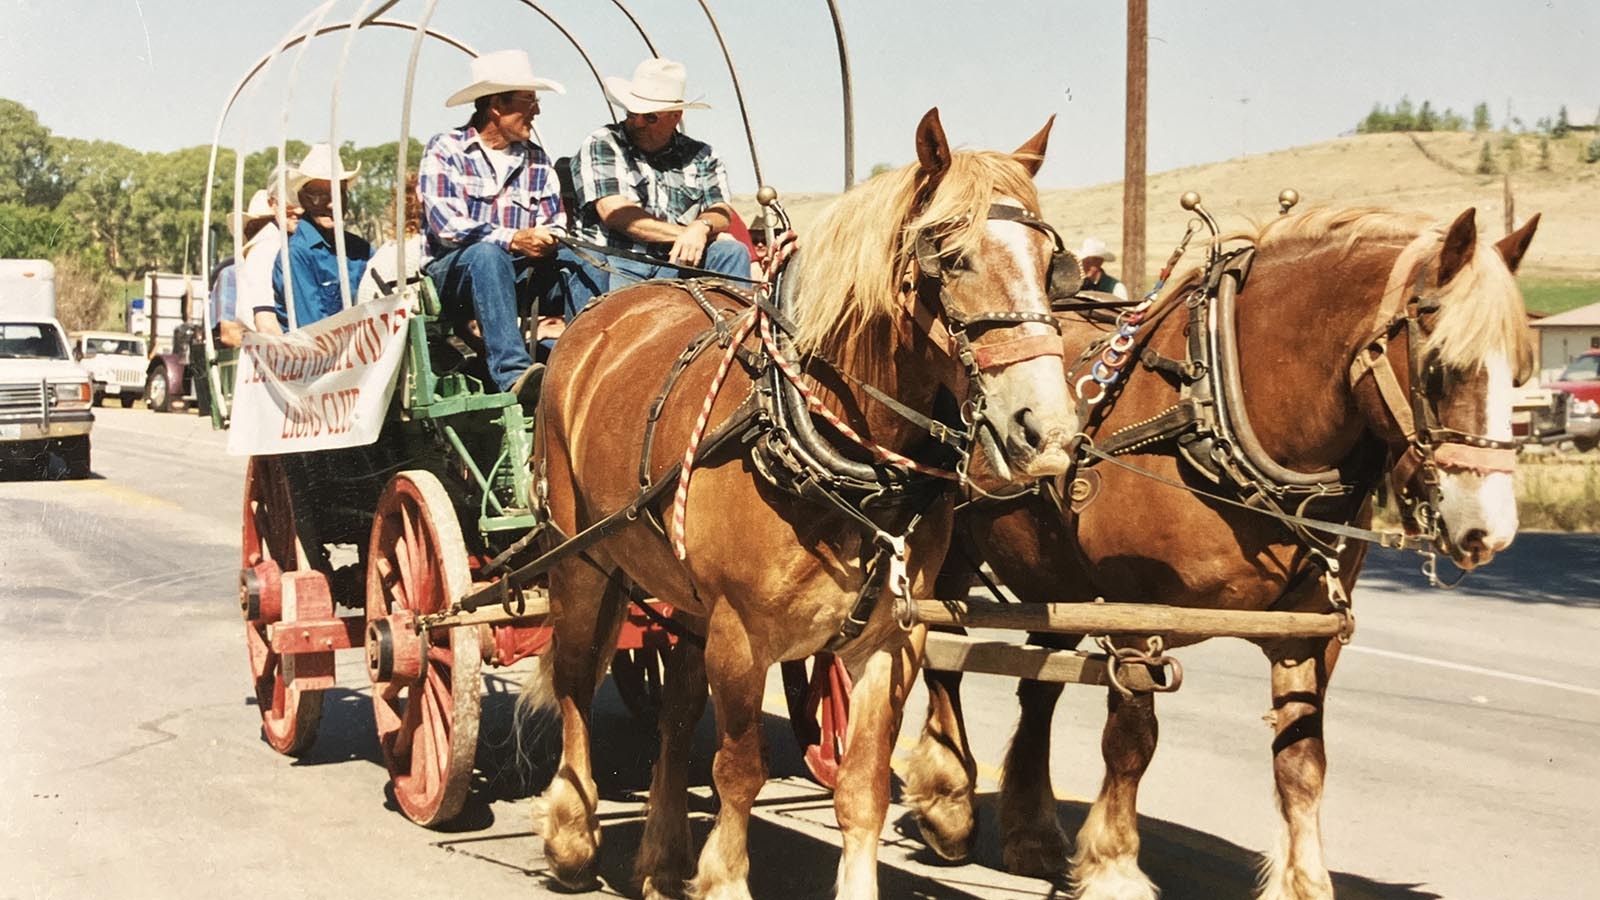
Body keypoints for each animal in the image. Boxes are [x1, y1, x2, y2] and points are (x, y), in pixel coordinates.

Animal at [527, 108, 1081, 900]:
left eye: (1049, 259)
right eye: (949, 258)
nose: (1049, 431)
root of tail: (598, 316)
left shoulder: (890, 641)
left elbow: (863, 787)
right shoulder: (739, 633)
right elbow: (738, 771)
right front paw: (724, 881)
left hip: (685, 598)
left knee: (674, 711)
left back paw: (662, 857)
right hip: (582, 560)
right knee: (576, 678)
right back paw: (572, 836)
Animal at [900, 206, 1541, 900]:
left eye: (1522, 372)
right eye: (1440, 368)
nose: (1489, 530)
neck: (1223, 414)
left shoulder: (1308, 630)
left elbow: (1302, 760)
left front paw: (1304, 883)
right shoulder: (1136, 616)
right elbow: (1131, 740)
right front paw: (1115, 868)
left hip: (1057, 581)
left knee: (1037, 686)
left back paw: (1032, 835)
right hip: (954, 556)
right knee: (944, 660)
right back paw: (950, 806)